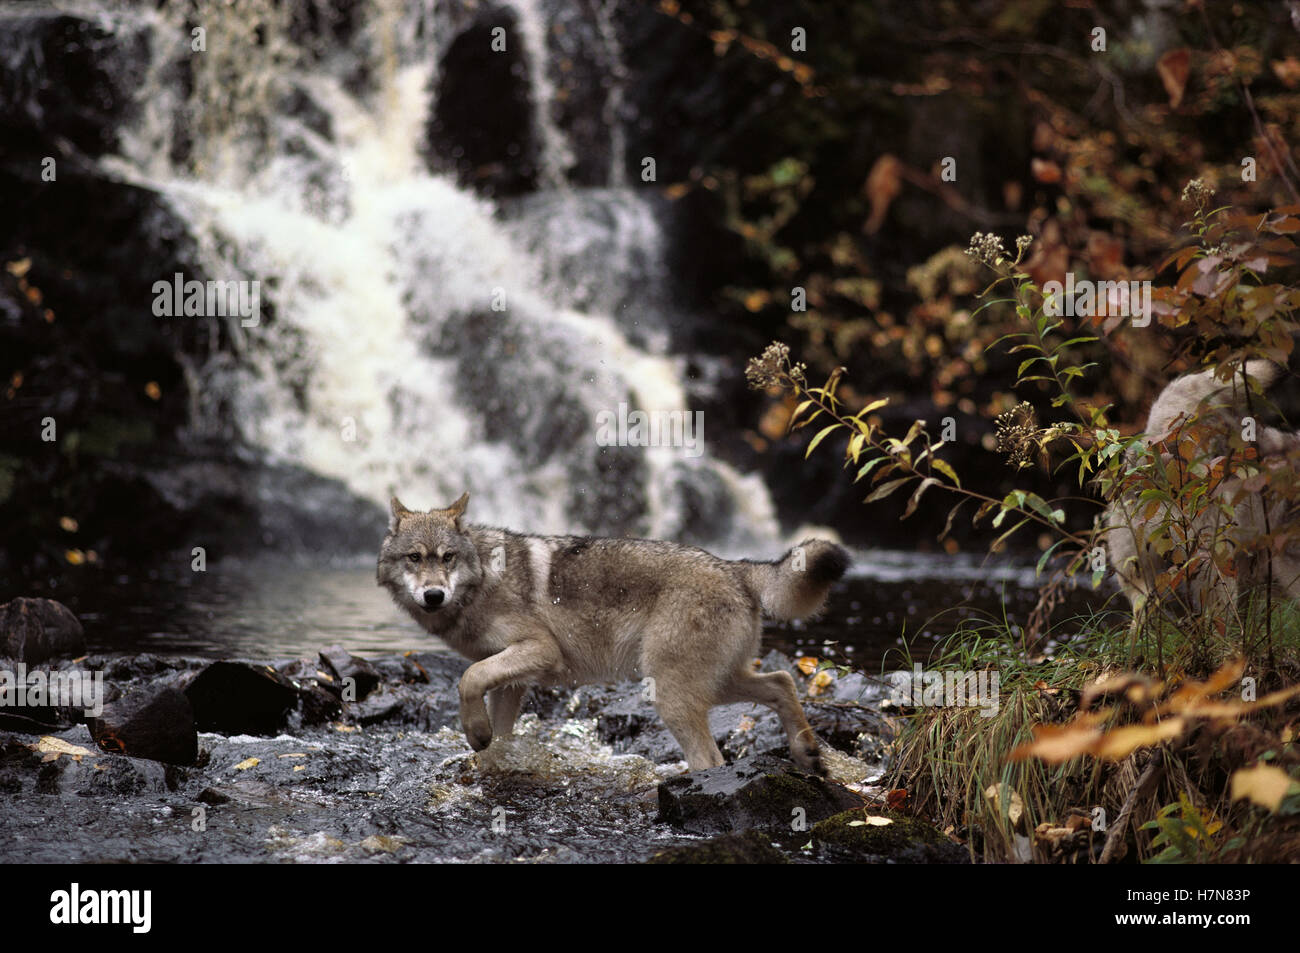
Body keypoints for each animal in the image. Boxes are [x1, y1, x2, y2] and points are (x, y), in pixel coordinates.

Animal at [377, 492, 850, 773]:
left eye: (447, 557)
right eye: (414, 558)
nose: (433, 595)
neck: (481, 585)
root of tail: (736, 568)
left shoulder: (539, 650)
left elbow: (467, 679)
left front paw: (475, 733)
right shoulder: (512, 680)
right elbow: (502, 728)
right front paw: (491, 753)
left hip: (671, 695)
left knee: (711, 757)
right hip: (716, 683)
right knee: (783, 680)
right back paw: (808, 754)